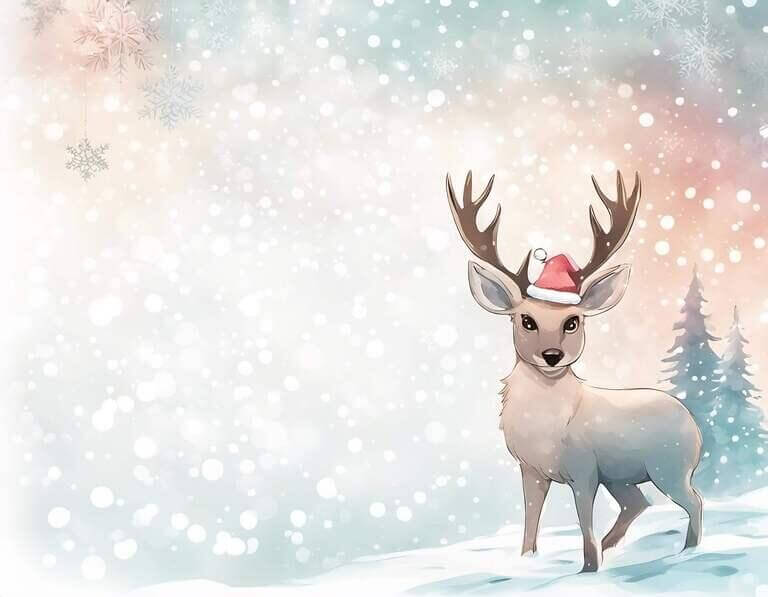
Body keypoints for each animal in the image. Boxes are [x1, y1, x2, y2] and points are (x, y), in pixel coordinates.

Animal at [445, 170, 703, 573]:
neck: (548, 428)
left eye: (573, 321)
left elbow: (583, 520)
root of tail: (694, 424)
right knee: (639, 503)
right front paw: (528, 560)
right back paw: (616, 546)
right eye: (526, 320)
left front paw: (589, 568)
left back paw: (687, 551)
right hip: (622, 476)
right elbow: (530, 521)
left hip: (669, 467)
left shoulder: (584, 470)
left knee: (694, 501)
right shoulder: (531, 470)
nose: (552, 355)